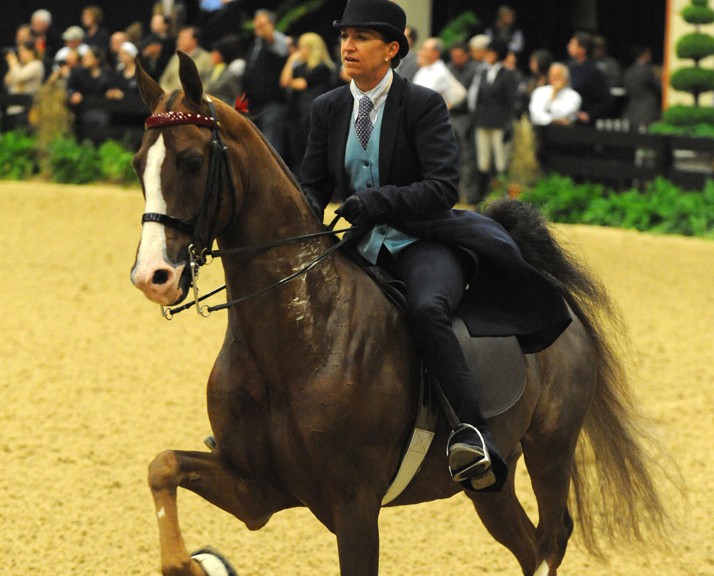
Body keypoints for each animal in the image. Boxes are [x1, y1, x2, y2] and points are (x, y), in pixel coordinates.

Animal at [130, 52, 668, 576]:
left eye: (192, 161)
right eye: (139, 165)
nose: (153, 276)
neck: (297, 338)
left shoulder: (354, 506)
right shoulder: (256, 490)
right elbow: (163, 467)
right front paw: (194, 563)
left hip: (550, 449)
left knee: (552, 539)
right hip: (491, 483)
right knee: (528, 543)